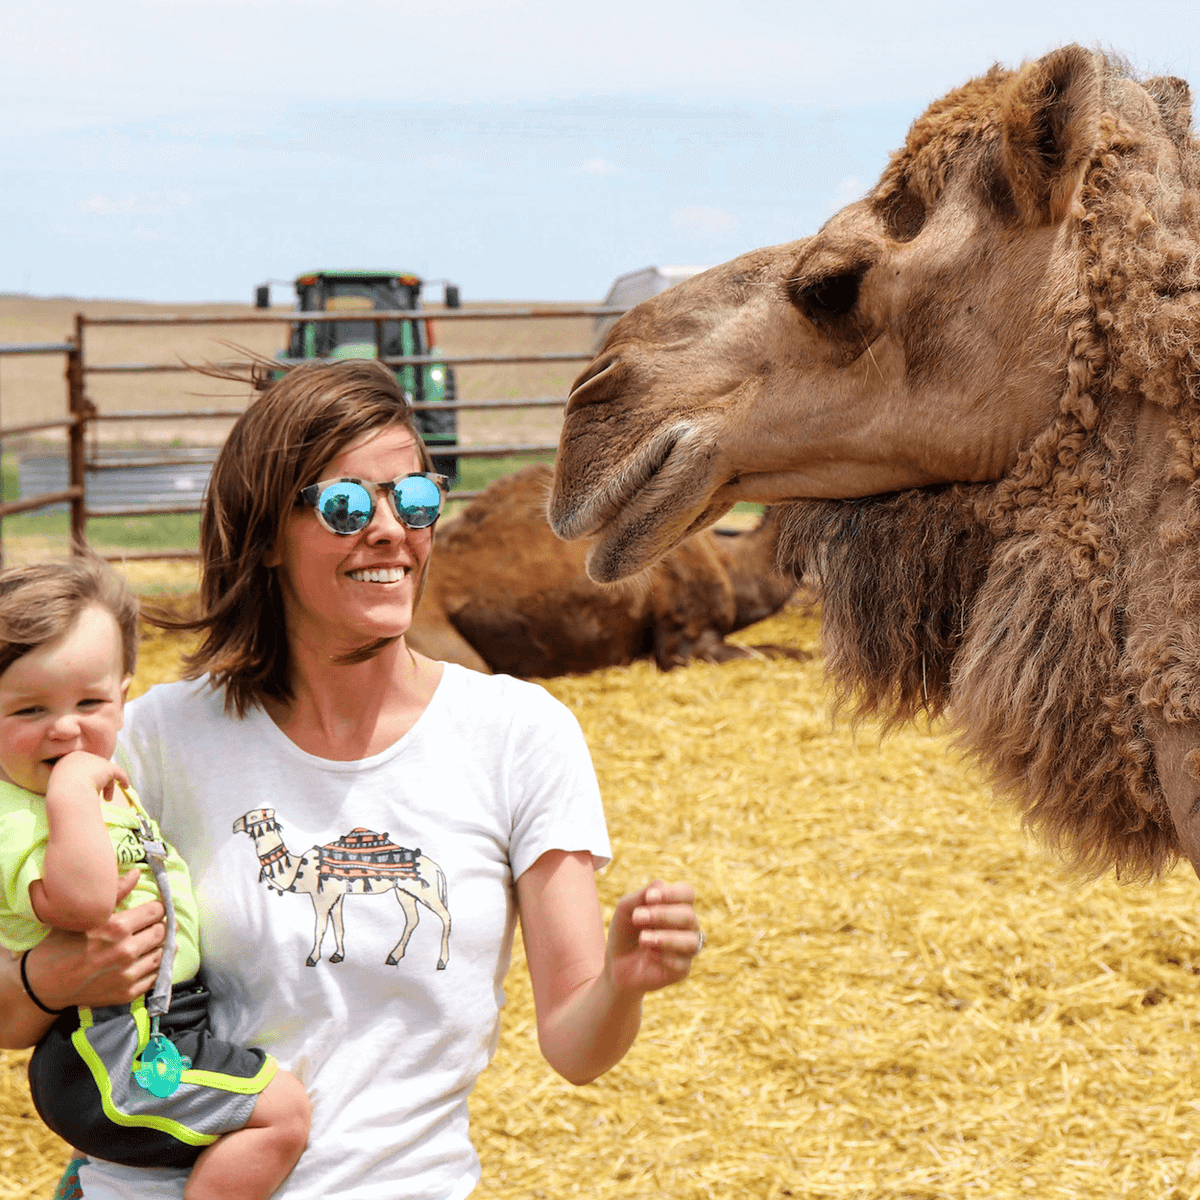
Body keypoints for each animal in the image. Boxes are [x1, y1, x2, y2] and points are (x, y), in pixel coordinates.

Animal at [232, 808, 452, 969]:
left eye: (252, 816)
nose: (234, 825)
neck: (299, 869)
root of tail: (437, 868)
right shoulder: (337, 896)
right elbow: (339, 926)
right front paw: (338, 955)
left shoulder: (321, 896)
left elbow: (319, 928)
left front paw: (313, 958)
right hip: (405, 892)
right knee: (413, 919)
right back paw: (394, 956)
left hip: (427, 890)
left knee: (445, 916)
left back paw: (441, 961)